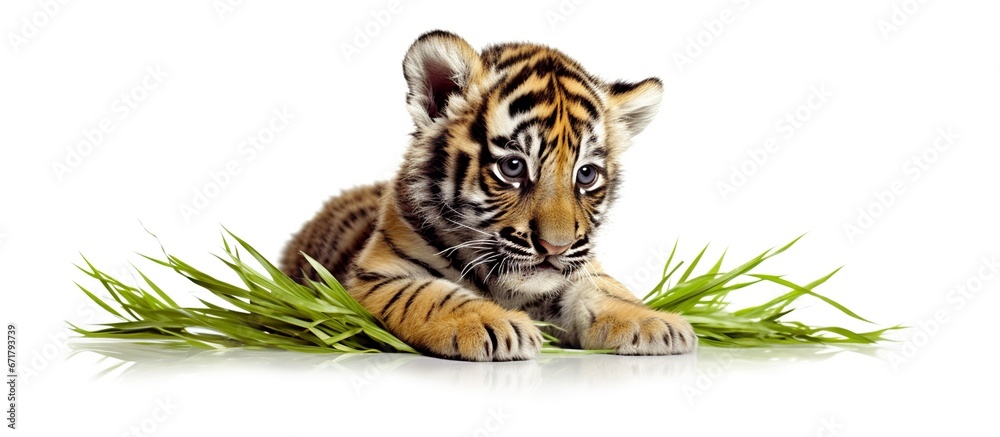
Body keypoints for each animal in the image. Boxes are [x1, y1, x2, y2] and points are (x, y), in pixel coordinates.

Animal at [279, 30, 696, 361]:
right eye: (513, 167)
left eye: (586, 174)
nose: (555, 247)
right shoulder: (375, 277)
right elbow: (428, 294)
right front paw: (493, 324)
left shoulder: (579, 270)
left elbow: (604, 291)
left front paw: (658, 323)